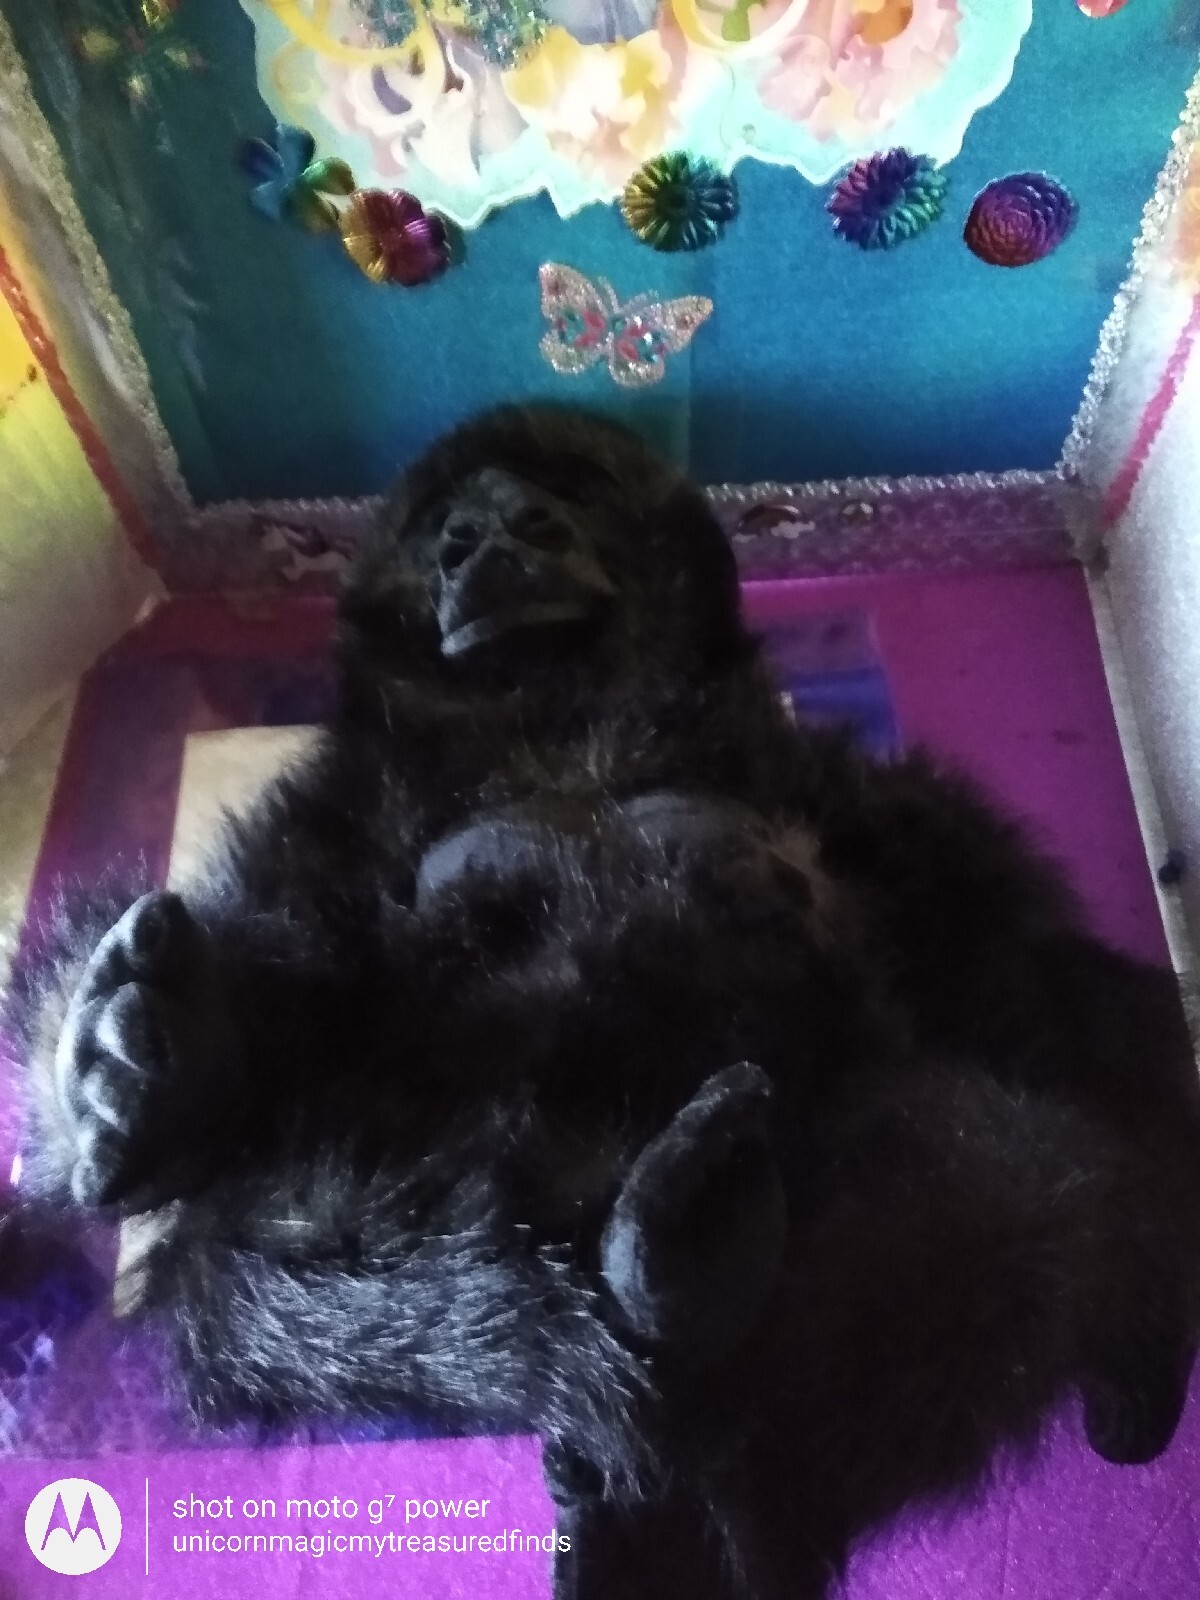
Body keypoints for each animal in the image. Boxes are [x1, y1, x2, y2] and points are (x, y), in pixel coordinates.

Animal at [8, 404, 1199, 1599]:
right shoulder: (334, 813)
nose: (492, 537)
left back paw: (693, 1285)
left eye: (560, 502)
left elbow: (1037, 991)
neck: (563, 714)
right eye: (445, 530)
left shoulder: (866, 793)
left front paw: (1145, 1344)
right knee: (278, 1247)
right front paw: (139, 1070)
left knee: (1003, 1185)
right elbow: (294, 985)